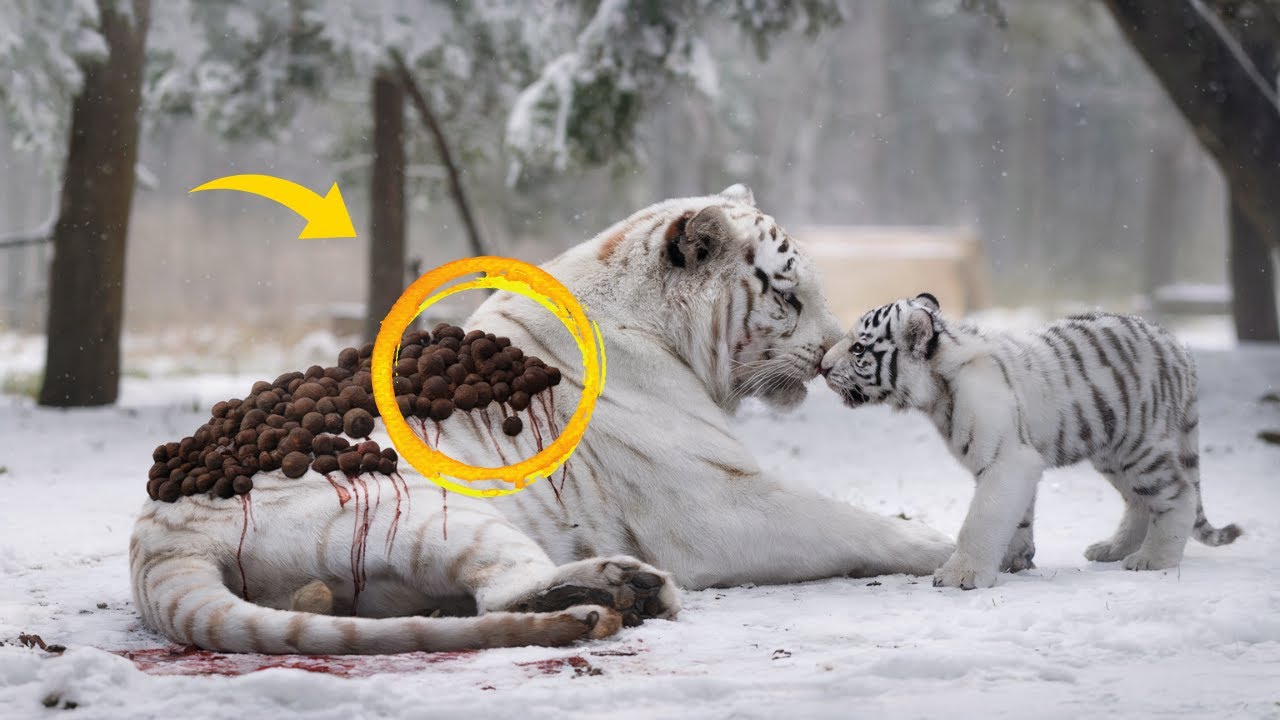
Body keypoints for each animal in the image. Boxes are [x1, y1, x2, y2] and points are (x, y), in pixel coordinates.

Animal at [130, 186, 956, 654]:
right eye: (787, 298)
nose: (831, 353)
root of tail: (157, 542)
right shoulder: (721, 503)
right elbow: (856, 522)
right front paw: (952, 546)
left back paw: (620, 593)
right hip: (444, 512)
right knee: (504, 592)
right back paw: (628, 591)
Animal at [819, 292, 1242, 590]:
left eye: (858, 348)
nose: (822, 366)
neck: (936, 388)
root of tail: (1178, 347)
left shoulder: (1007, 458)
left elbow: (982, 519)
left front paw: (960, 575)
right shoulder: (1012, 462)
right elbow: (1015, 517)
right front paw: (1014, 560)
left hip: (1140, 447)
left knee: (1180, 494)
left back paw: (1153, 559)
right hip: (1112, 450)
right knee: (1140, 502)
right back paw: (1113, 549)